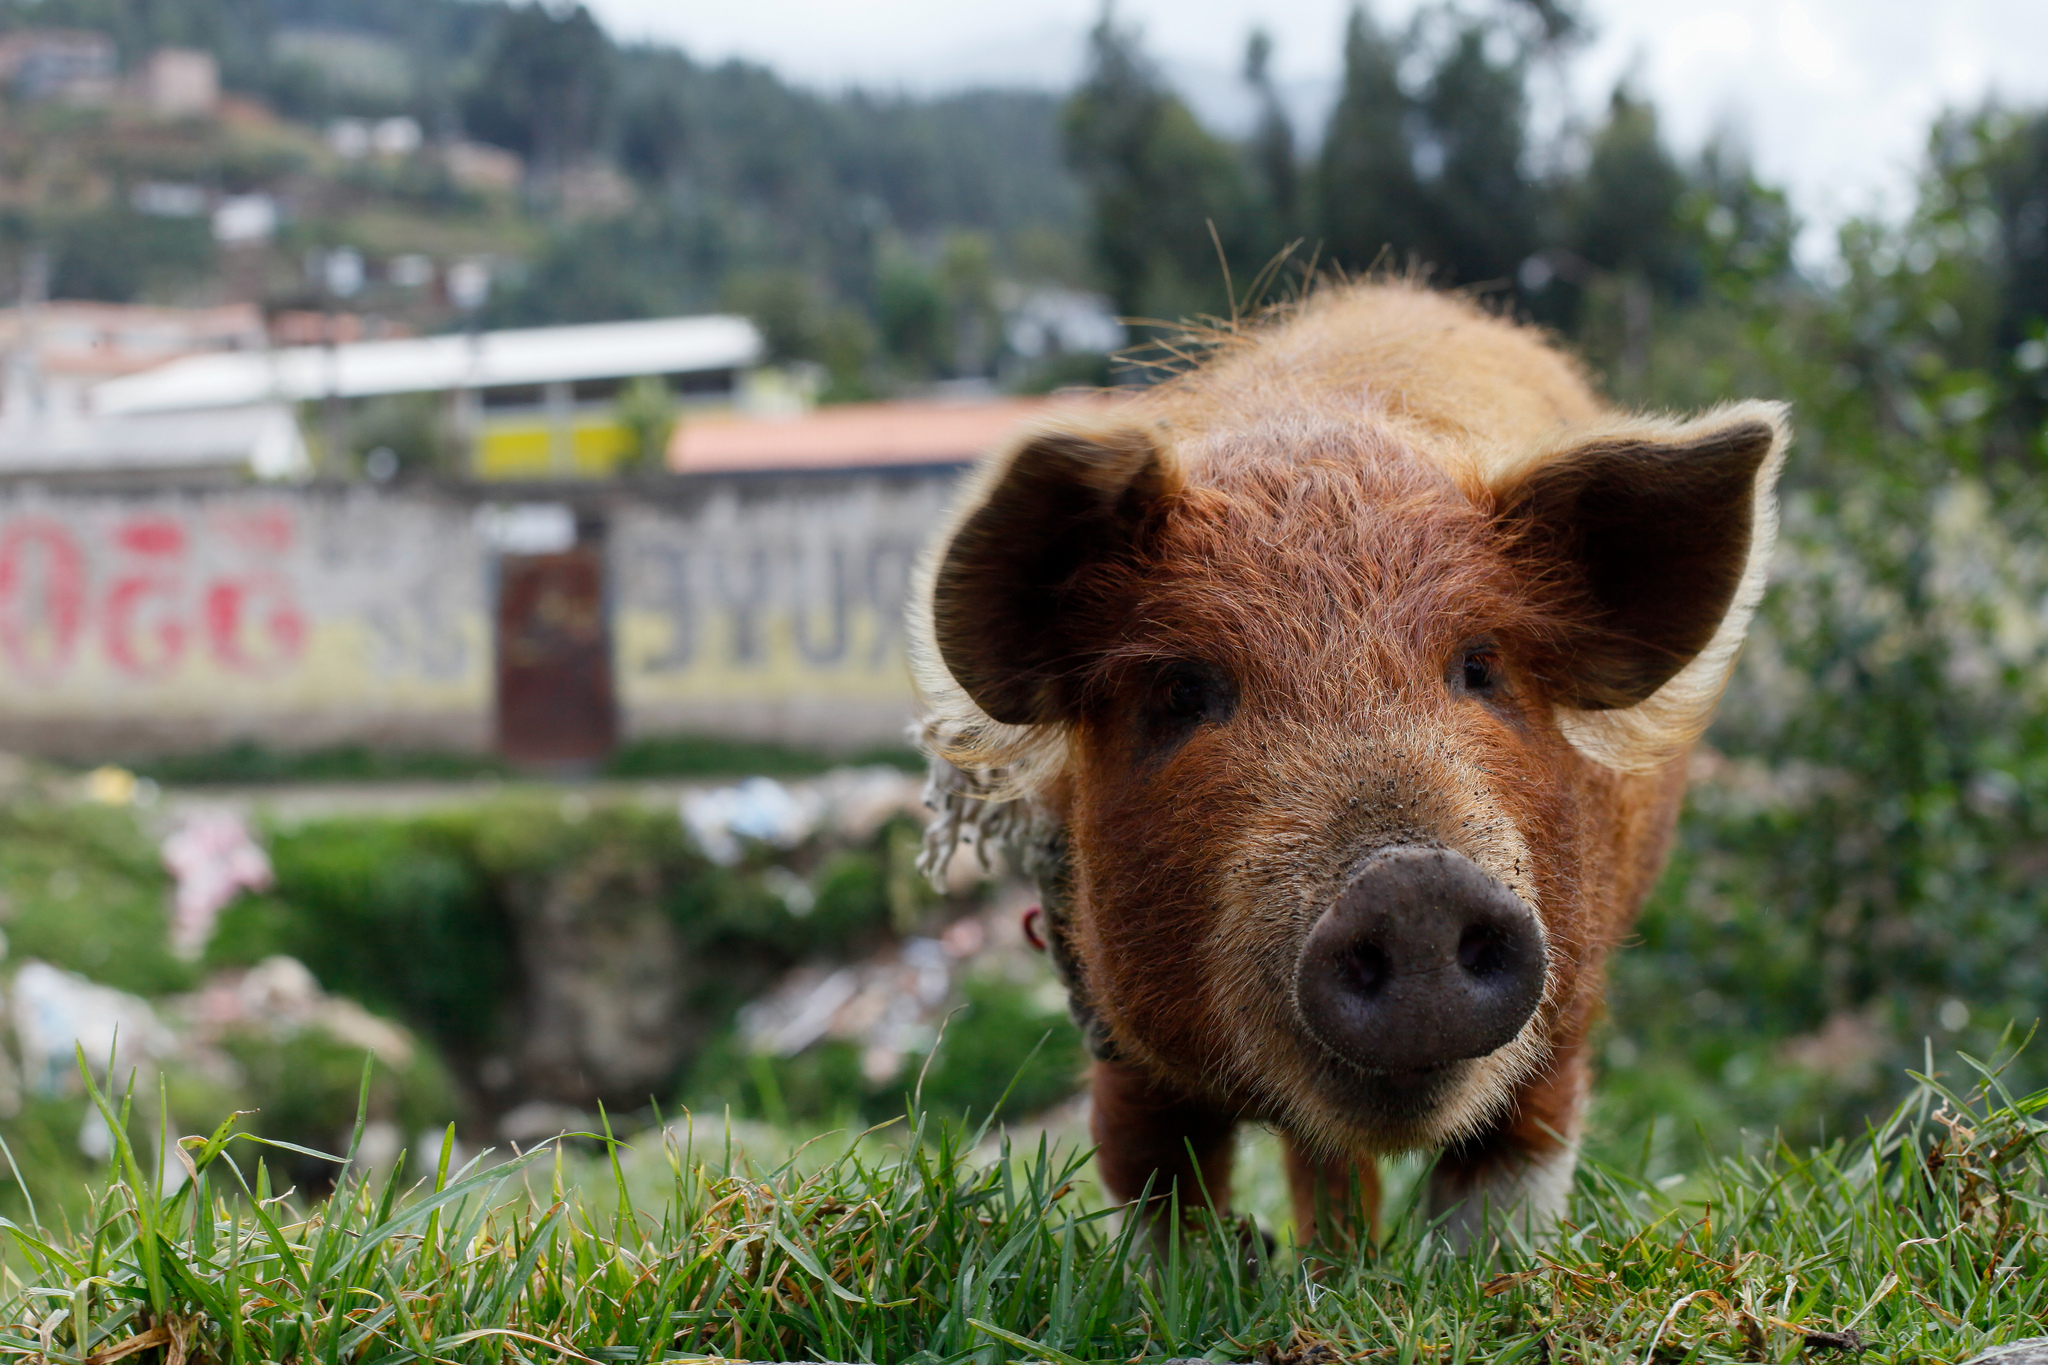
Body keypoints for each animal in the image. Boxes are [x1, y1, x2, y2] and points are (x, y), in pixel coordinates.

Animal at [910, 282, 1788, 1247]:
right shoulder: (1109, 1015)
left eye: (1479, 667)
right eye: (1182, 690)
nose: (1414, 883)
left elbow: (1511, 1176)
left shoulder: (1568, 1009)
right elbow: (1153, 1179)